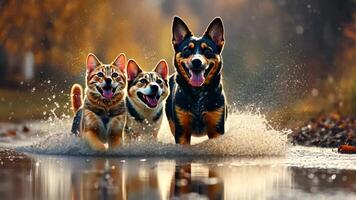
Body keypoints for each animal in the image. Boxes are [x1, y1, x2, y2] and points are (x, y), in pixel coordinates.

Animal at [165, 16, 227, 145]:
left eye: (207, 51)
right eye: (187, 50)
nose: (196, 61)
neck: (198, 94)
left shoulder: (217, 128)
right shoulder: (182, 131)